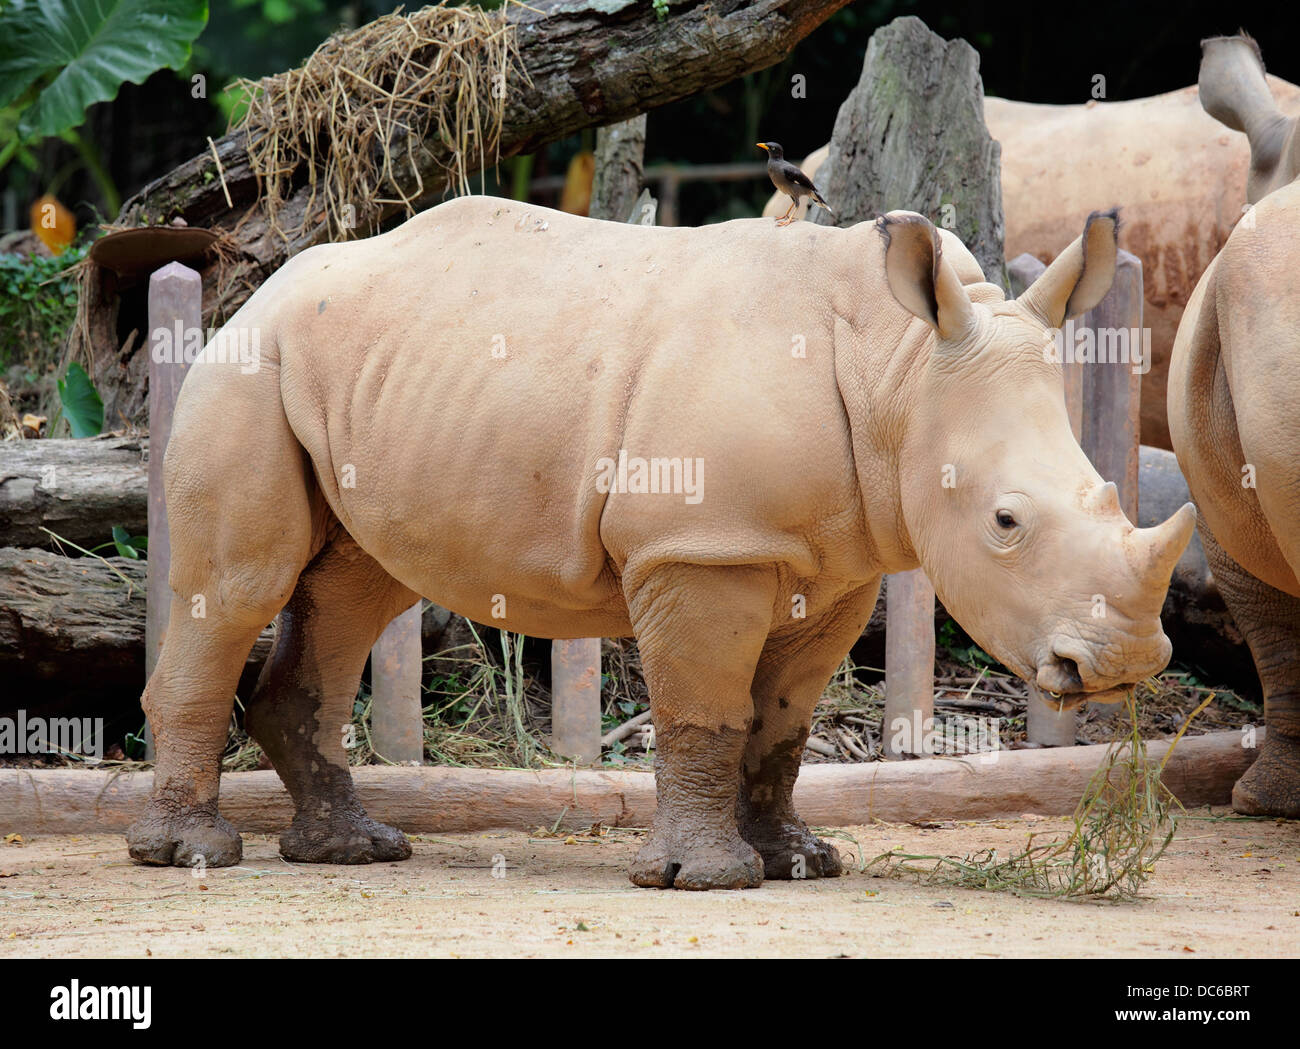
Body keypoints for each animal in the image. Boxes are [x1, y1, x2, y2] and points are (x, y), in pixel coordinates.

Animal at [127, 198, 1194, 889]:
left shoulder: (833, 568)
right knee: (239, 587)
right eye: (1007, 524)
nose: (1126, 663)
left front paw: (799, 863)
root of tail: (259, 289)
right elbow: (706, 708)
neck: (899, 369)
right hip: (245, 368)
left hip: (358, 375)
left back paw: (356, 848)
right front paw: (704, 877)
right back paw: (192, 856)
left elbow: (782, 720)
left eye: (1107, 495)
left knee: (354, 588)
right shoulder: (701, 545)